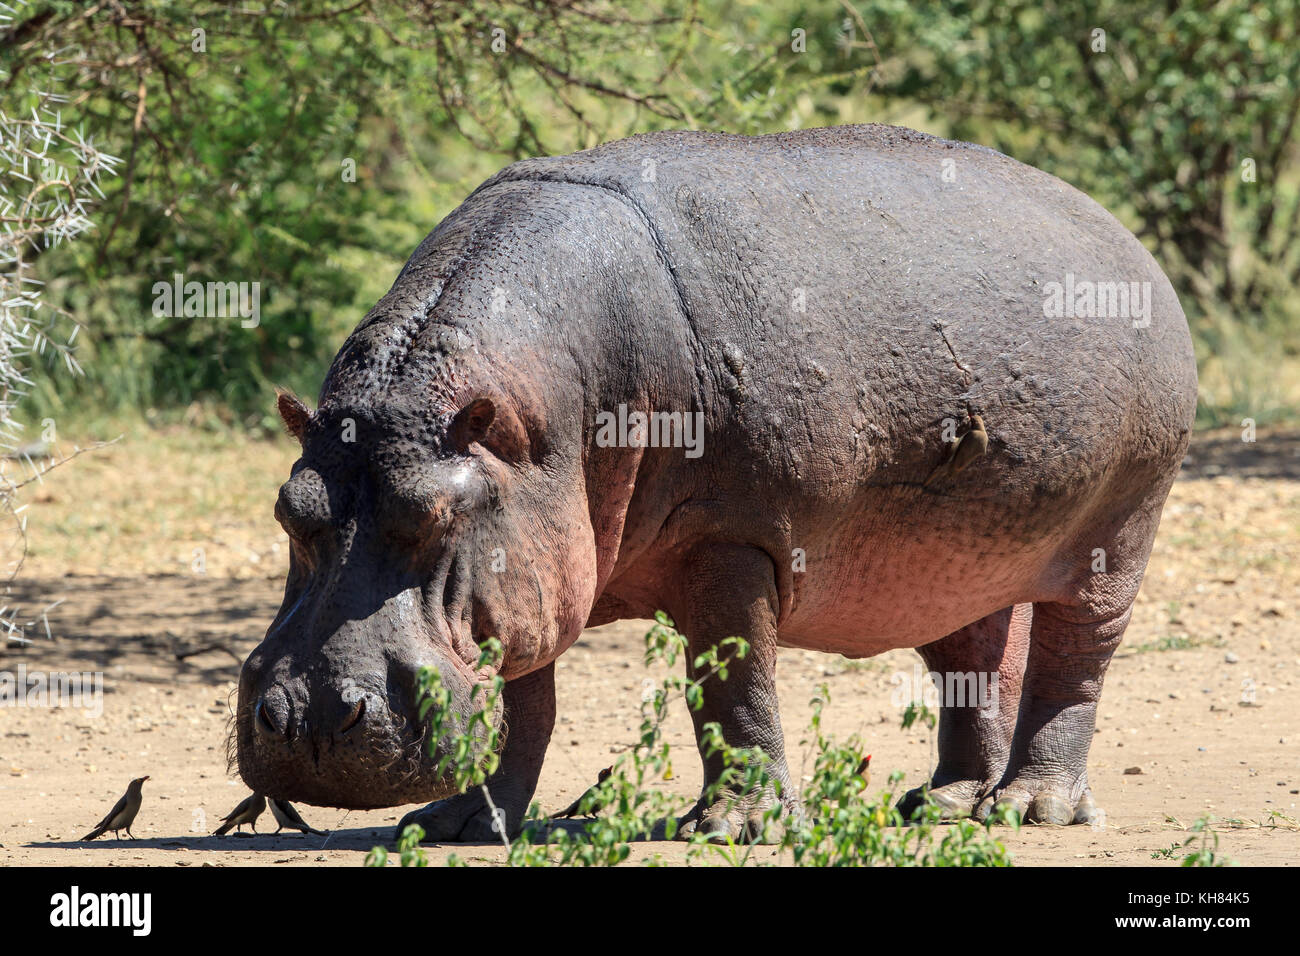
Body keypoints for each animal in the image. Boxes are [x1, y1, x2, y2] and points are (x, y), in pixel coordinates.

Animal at [235, 125, 1197, 842]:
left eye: (436, 514)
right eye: (288, 510)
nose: (311, 719)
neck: (536, 423)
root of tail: (1127, 240)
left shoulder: (732, 534)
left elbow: (733, 680)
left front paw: (738, 827)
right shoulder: (536, 557)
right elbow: (525, 697)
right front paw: (462, 823)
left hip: (1120, 528)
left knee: (1076, 658)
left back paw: (1031, 809)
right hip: (955, 553)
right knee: (974, 649)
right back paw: (945, 803)